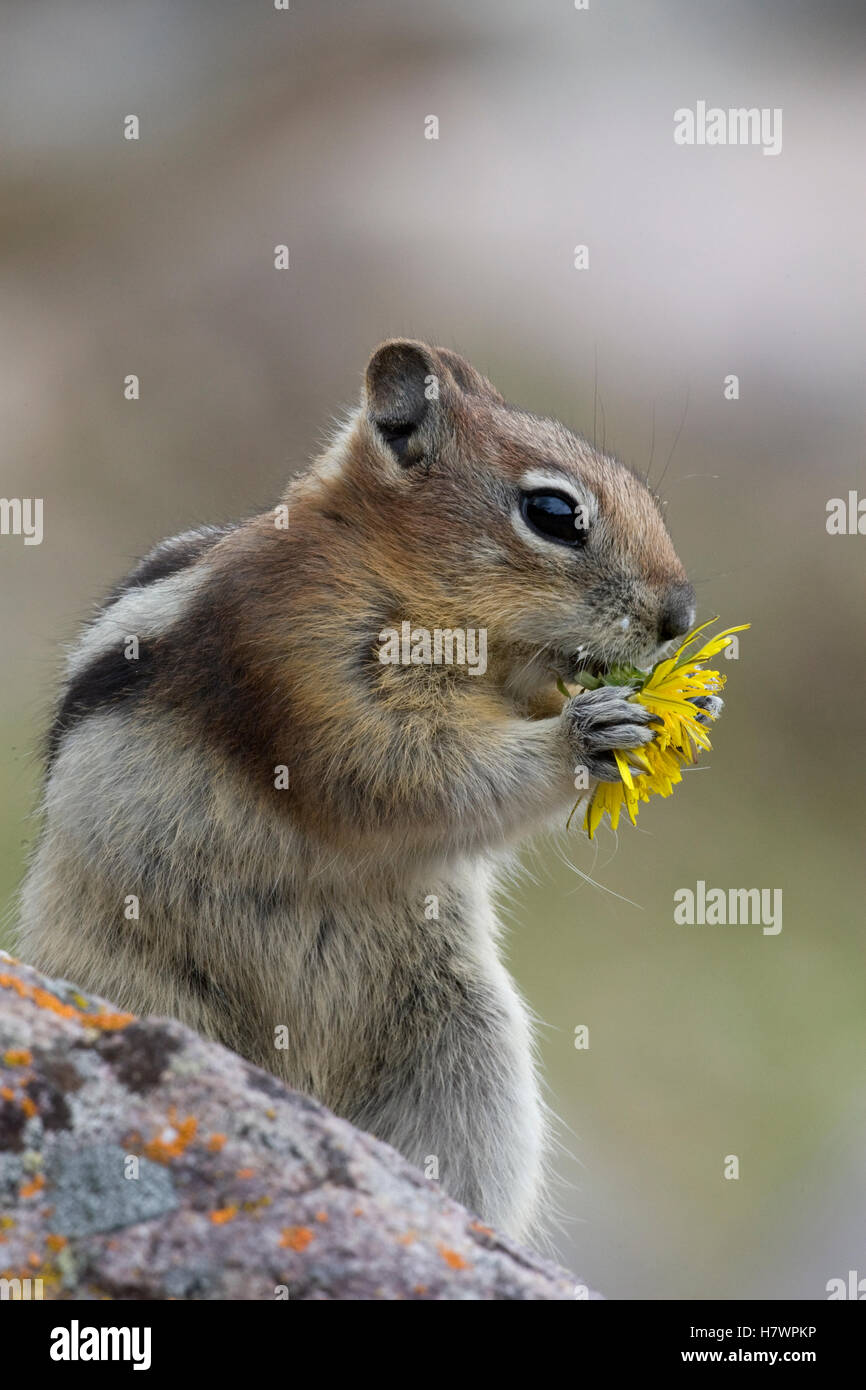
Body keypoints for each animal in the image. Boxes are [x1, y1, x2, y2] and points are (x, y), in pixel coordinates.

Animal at [17, 340, 717, 1241]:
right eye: (555, 513)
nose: (679, 617)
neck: (392, 571)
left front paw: (687, 705)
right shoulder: (300, 662)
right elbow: (406, 775)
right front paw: (587, 732)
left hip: (469, 1048)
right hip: (144, 993)